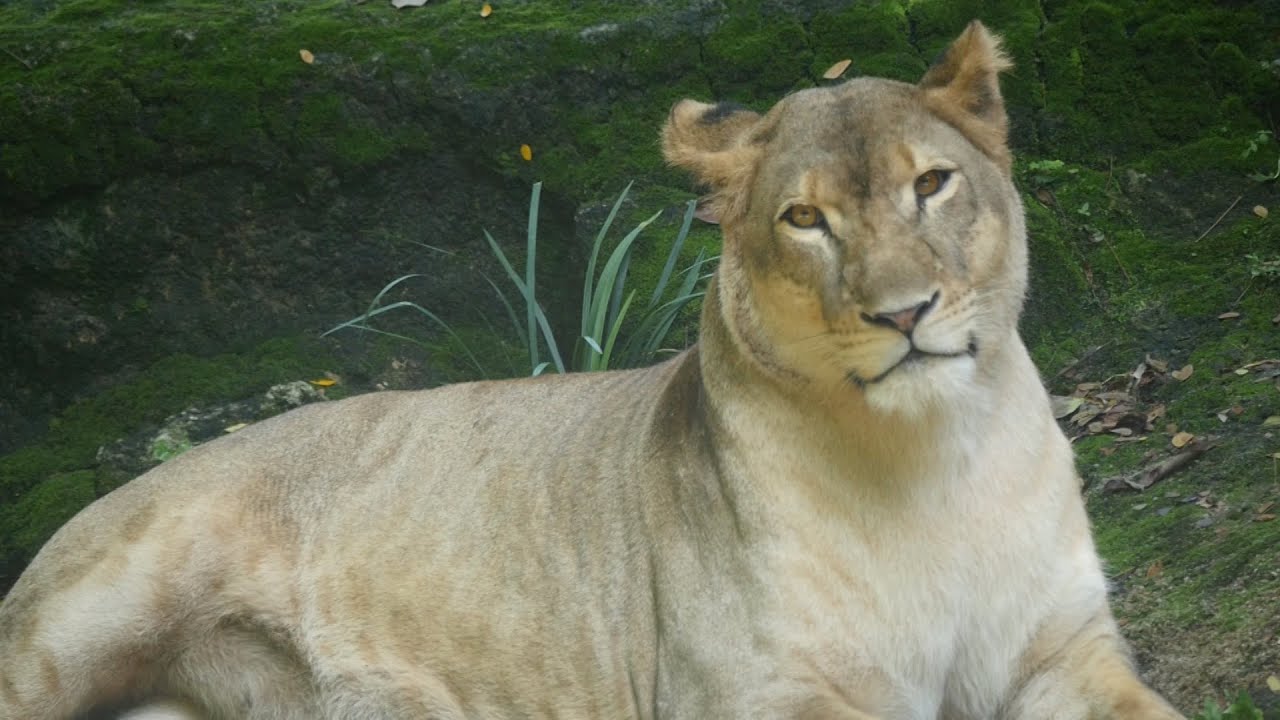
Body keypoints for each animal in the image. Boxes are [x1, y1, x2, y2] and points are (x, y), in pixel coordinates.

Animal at [0, 21, 1183, 720]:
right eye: (804, 219)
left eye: (932, 183)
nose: (902, 313)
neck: (933, 460)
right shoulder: (753, 692)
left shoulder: (1062, 649)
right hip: (74, 629)